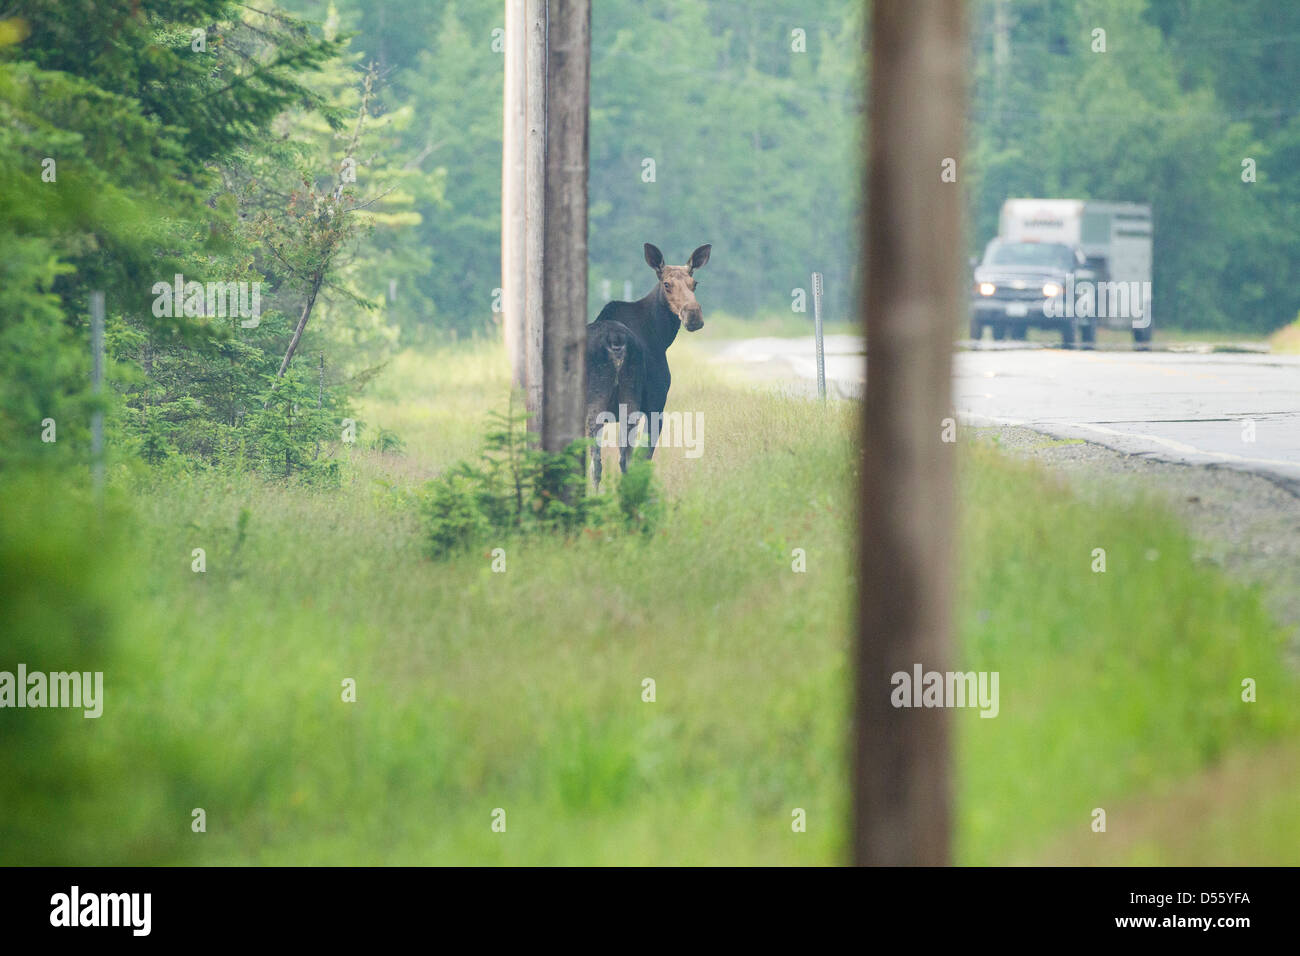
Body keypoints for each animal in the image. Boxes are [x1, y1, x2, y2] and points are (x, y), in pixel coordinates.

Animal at [585, 242, 711, 488]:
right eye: (667, 284)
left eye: (695, 283)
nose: (693, 315)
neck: (660, 335)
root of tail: (615, 342)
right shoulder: (656, 402)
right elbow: (644, 457)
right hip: (619, 402)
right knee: (616, 459)